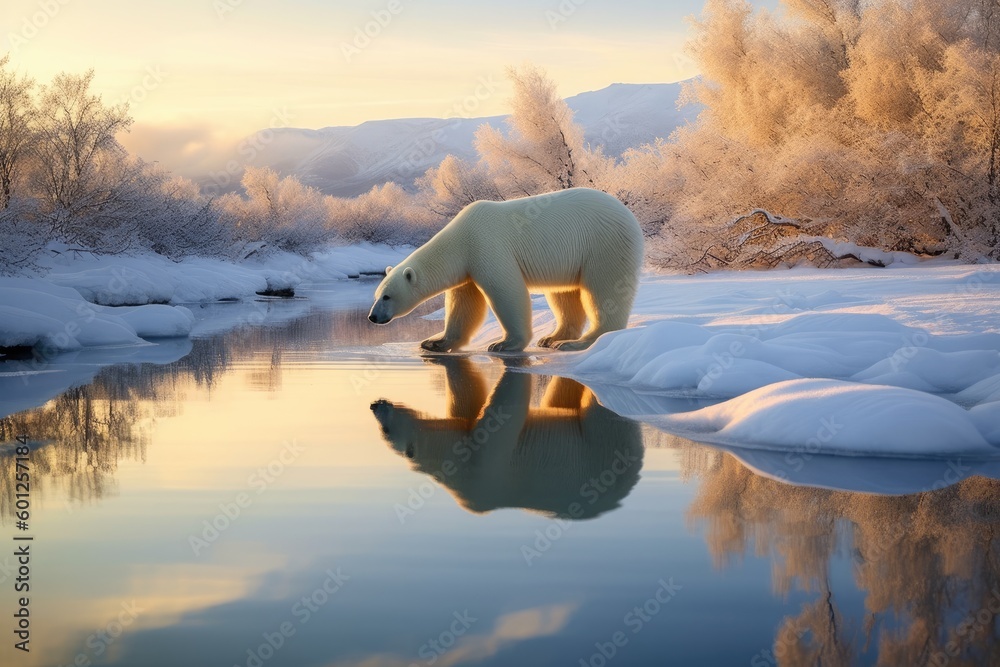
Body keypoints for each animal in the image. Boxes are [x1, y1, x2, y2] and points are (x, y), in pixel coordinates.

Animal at [367, 187, 644, 352]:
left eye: (387, 296)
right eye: (376, 295)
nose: (372, 317)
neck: (461, 238)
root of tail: (629, 215)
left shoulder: (487, 247)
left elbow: (505, 292)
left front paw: (503, 344)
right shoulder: (467, 266)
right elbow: (463, 305)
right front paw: (435, 341)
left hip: (603, 244)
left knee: (604, 290)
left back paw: (575, 342)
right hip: (570, 258)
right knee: (564, 294)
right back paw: (552, 338)